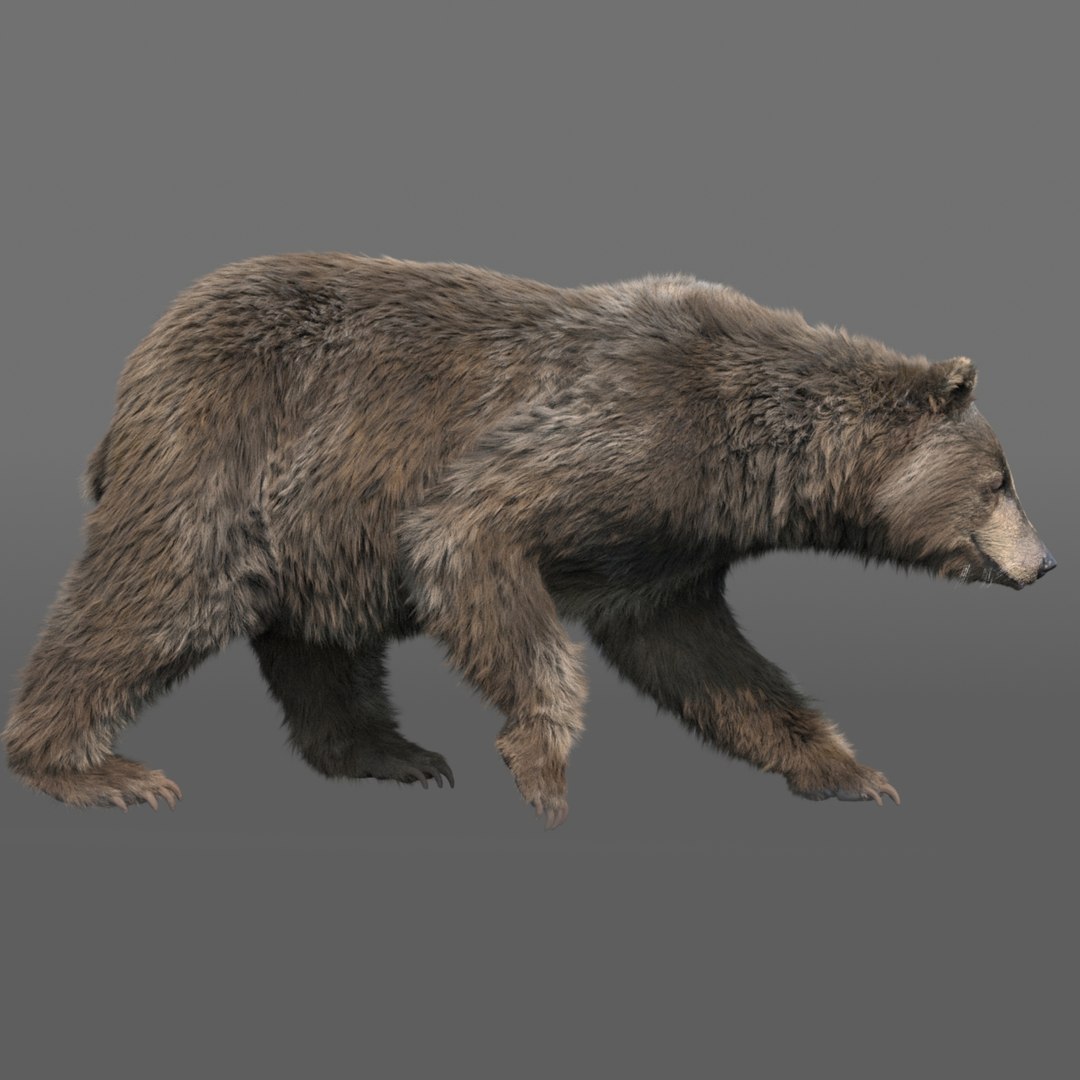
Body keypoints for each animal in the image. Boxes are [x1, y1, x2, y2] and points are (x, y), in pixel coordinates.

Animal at [4, 254, 1056, 827]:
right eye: (1002, 479)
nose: (1044, 560)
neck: (750, 454)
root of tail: (145, 350)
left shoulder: (665, 548)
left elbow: (710, 662)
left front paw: (847, 771)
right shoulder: (617, 434)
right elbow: (470, 534)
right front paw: (542, 766)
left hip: (320, 524)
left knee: (320, 640)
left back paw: (391, 753)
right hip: (222, 451)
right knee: (153, 592)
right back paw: (95, 769)